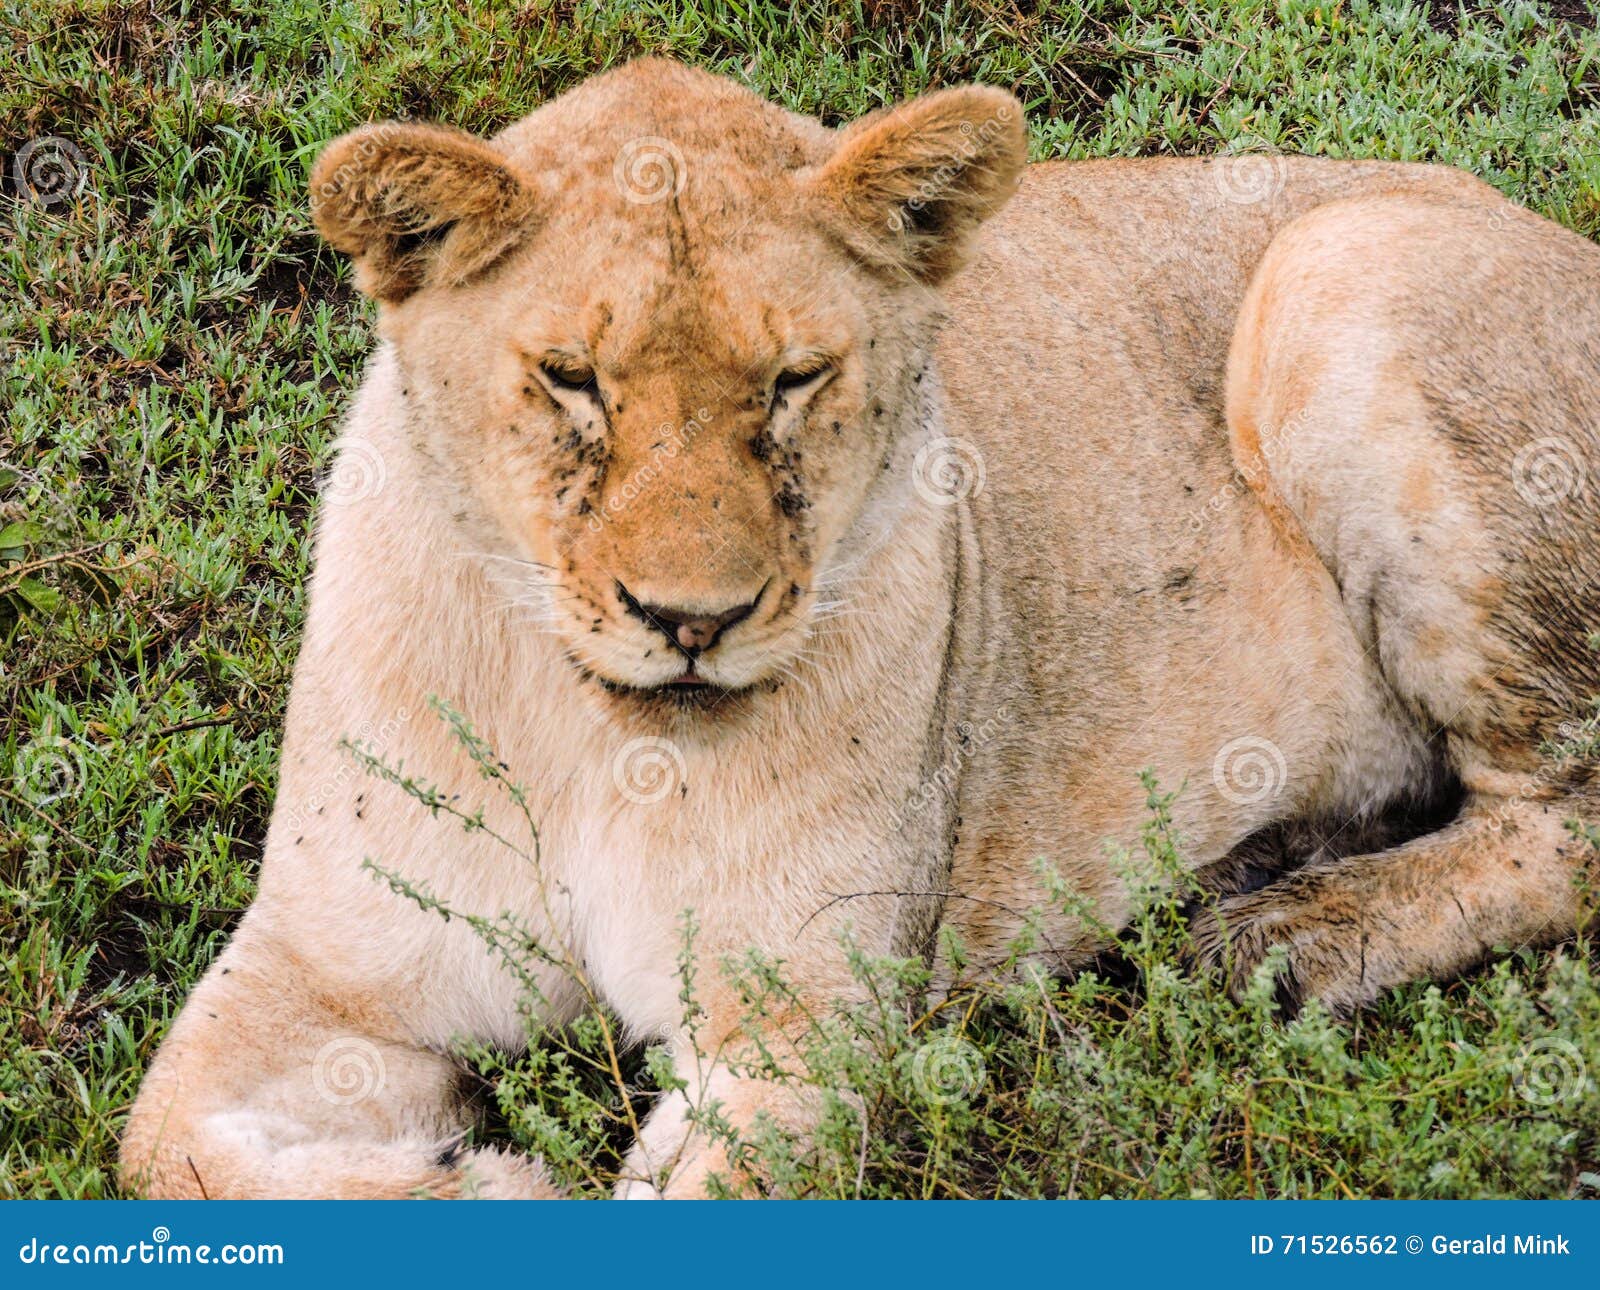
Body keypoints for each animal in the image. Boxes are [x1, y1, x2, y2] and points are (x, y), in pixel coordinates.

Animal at [122, 58, 1600, 1199]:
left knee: (1563, 822)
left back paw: (1289, 941)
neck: (597, 735)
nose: (692, 620)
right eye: (570, 378)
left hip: (1340, 270)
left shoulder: (806, 1018)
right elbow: (164, 1143)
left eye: (794, 379)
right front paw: (479, 1178)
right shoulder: (333, 974)